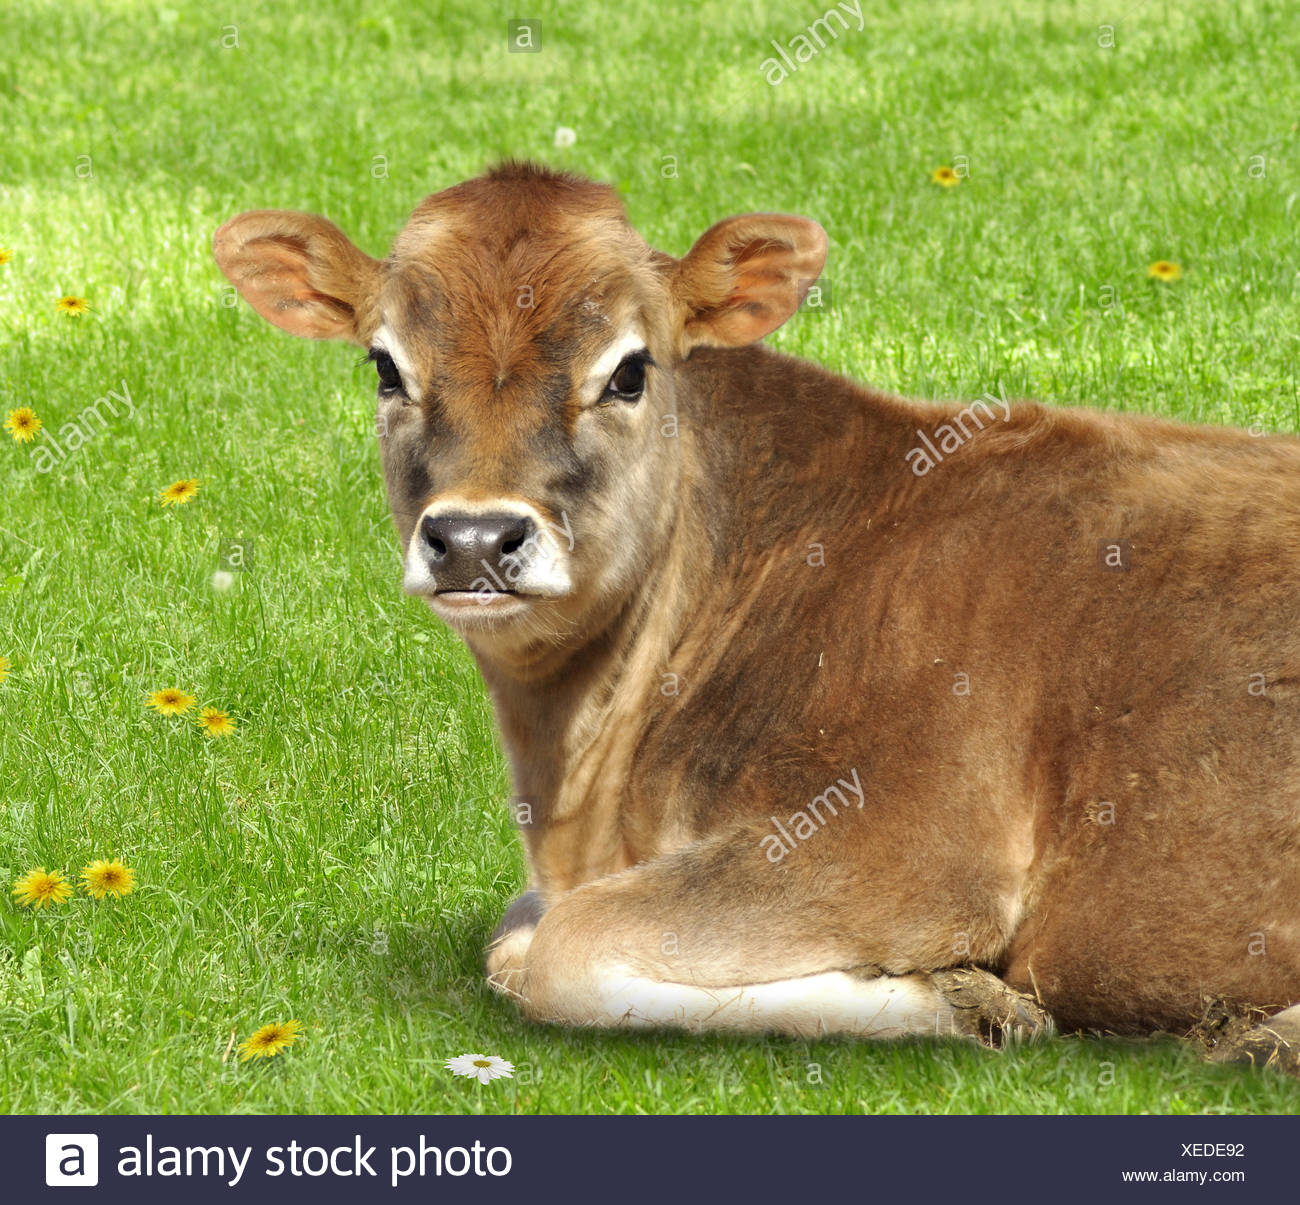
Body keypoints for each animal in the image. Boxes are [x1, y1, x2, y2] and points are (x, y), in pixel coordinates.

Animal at [214, 162, 1300, 1071]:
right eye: (385, 366)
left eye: (630, 370)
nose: (476, 537)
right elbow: (518, 935)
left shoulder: (906, 838)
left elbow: (561, 949)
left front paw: (966, 1000)